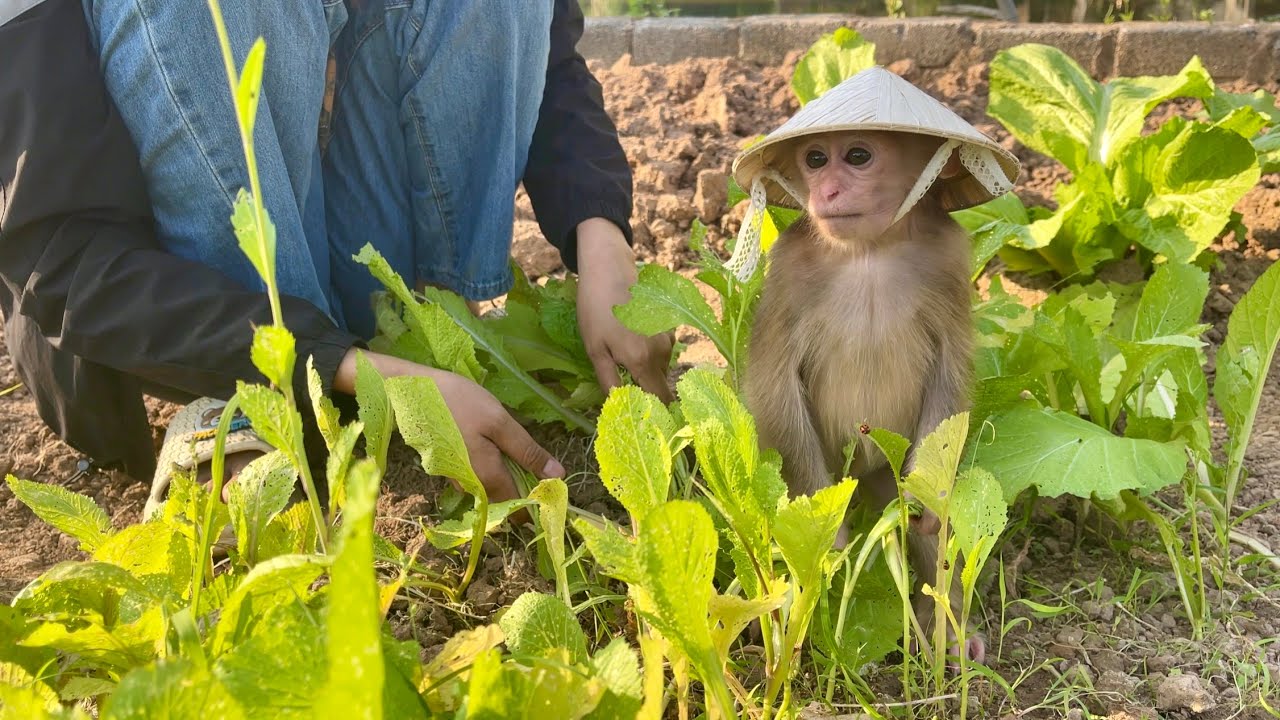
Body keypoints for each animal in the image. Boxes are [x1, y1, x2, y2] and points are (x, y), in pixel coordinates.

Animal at [742, 128, 984, 665]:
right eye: (814, 159)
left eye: (857, 155)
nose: (825, 191)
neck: (871, 249)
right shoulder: (787, 270)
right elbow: (773, 383)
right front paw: (828, 540)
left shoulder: (950, 259)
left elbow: (949, 380)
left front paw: (928, 505)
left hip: (885, 473)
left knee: (923, 525)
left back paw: (947, 626)